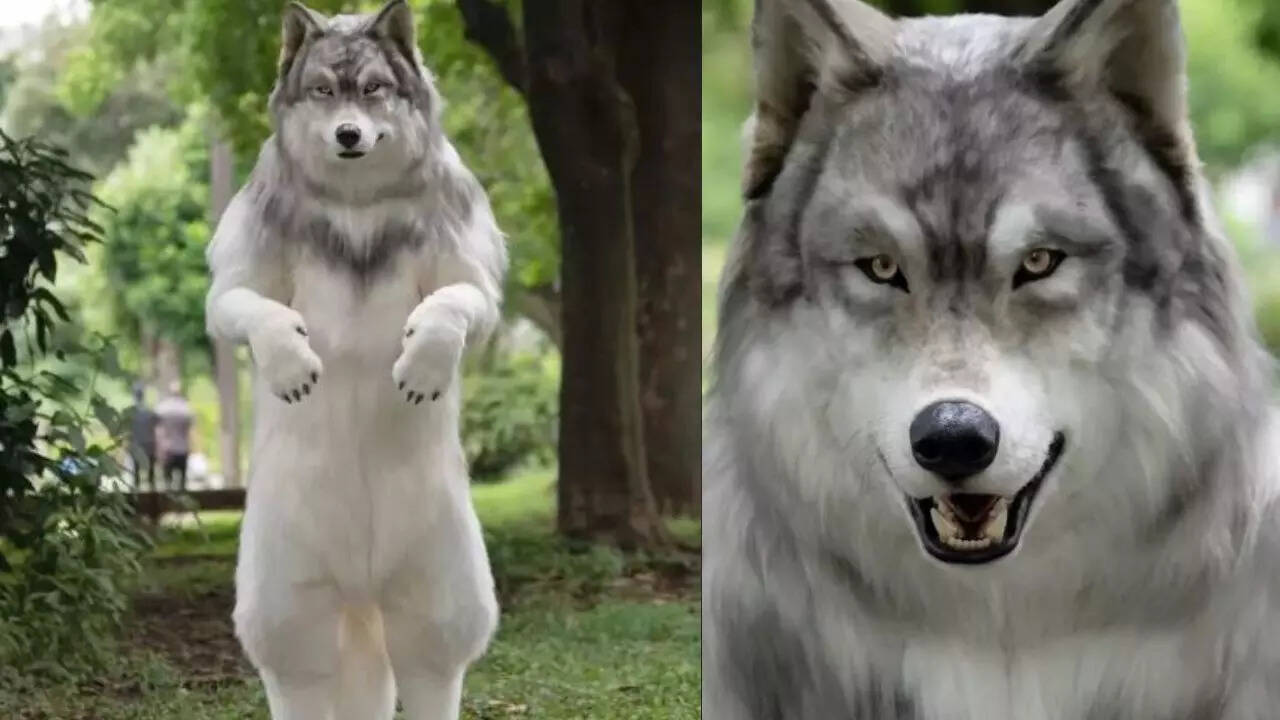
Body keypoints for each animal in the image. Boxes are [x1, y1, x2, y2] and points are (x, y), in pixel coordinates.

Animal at [204, 2, 505, 718]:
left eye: (372, 90)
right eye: (323, 90)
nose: (348, 134)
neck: (356, 204)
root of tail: (363, 588)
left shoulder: (469, 276)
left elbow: (455, 302)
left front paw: (425, 358)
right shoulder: (236, 282)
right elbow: (248, 306)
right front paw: (288, 360)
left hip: (436, 593)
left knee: (430, 664)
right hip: (290, 606)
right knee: (303, 673)